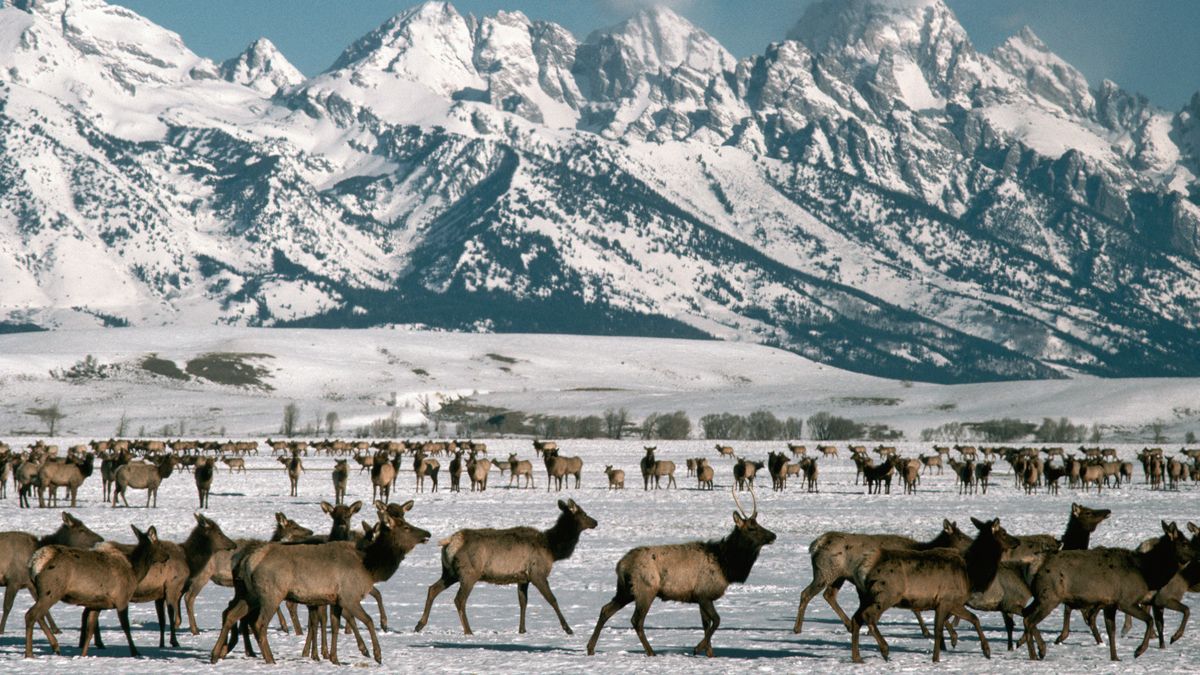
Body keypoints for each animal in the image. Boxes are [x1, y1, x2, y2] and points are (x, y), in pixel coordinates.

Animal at [25, 525, 170, 658]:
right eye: (160, 544)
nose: (167, 557)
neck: (135, 572)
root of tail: (35, 563)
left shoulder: (96, 605)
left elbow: (90, 630)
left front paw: (83, 655)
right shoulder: (122, 598)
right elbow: (126, 627)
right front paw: (135, 652)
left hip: (42, 591)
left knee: (39, 615)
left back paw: (54, 647)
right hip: (52, 591)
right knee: (31, 614)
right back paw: (30, 653)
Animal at [212, 501, 430, 665]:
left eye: (406, 520)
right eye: (406, 527)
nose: (427, 533)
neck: (370, 567)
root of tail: (249, 559)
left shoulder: (334, 599)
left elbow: (334, 625)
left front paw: (334, 658)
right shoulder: (349, 596)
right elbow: (368, 620)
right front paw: (375, 654)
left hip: (249, 593)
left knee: (231, 614)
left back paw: (216, 654)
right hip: (271, 593)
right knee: (258, 623)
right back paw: (270, 659)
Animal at [414, 499, 597, 636]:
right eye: (584, 513)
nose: (595, 522)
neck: (553, 549)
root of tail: (450, 542)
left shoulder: (523, 578)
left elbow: (523, 602)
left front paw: (522, 630)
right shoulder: (538, 573)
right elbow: (552, 599)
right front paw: (568, 629)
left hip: (450, 572)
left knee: (432, 589)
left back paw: (419, 625)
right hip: (469, 574)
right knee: (459, 599)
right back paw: (468, 631)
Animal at [586, 486, 776, 657]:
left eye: (759, 524)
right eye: (751, 528)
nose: (773, 535)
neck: (726, 565)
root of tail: (621, 564)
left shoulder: (701, 597)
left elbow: (706, 624)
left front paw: (709, 653)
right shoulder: (704, 593)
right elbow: (716, 621)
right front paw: (697, 648)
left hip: (626, 590)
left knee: (606, 609)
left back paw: (590, 648)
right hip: (645, 588)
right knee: (636, 620)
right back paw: (650, 652)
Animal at [850, 518, 1019, 663]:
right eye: (1004, 532)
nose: (1017, 541)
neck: (971, 575)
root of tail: (865, 566)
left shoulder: (951, 602)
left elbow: (972, 619)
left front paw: (985, 651)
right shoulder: (947, 599)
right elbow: (940, 630)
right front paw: (937, 658)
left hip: (865, 596)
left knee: (856, 618)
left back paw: (857, 657)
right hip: (887, 594)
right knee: (868, 615)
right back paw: (884, 650)